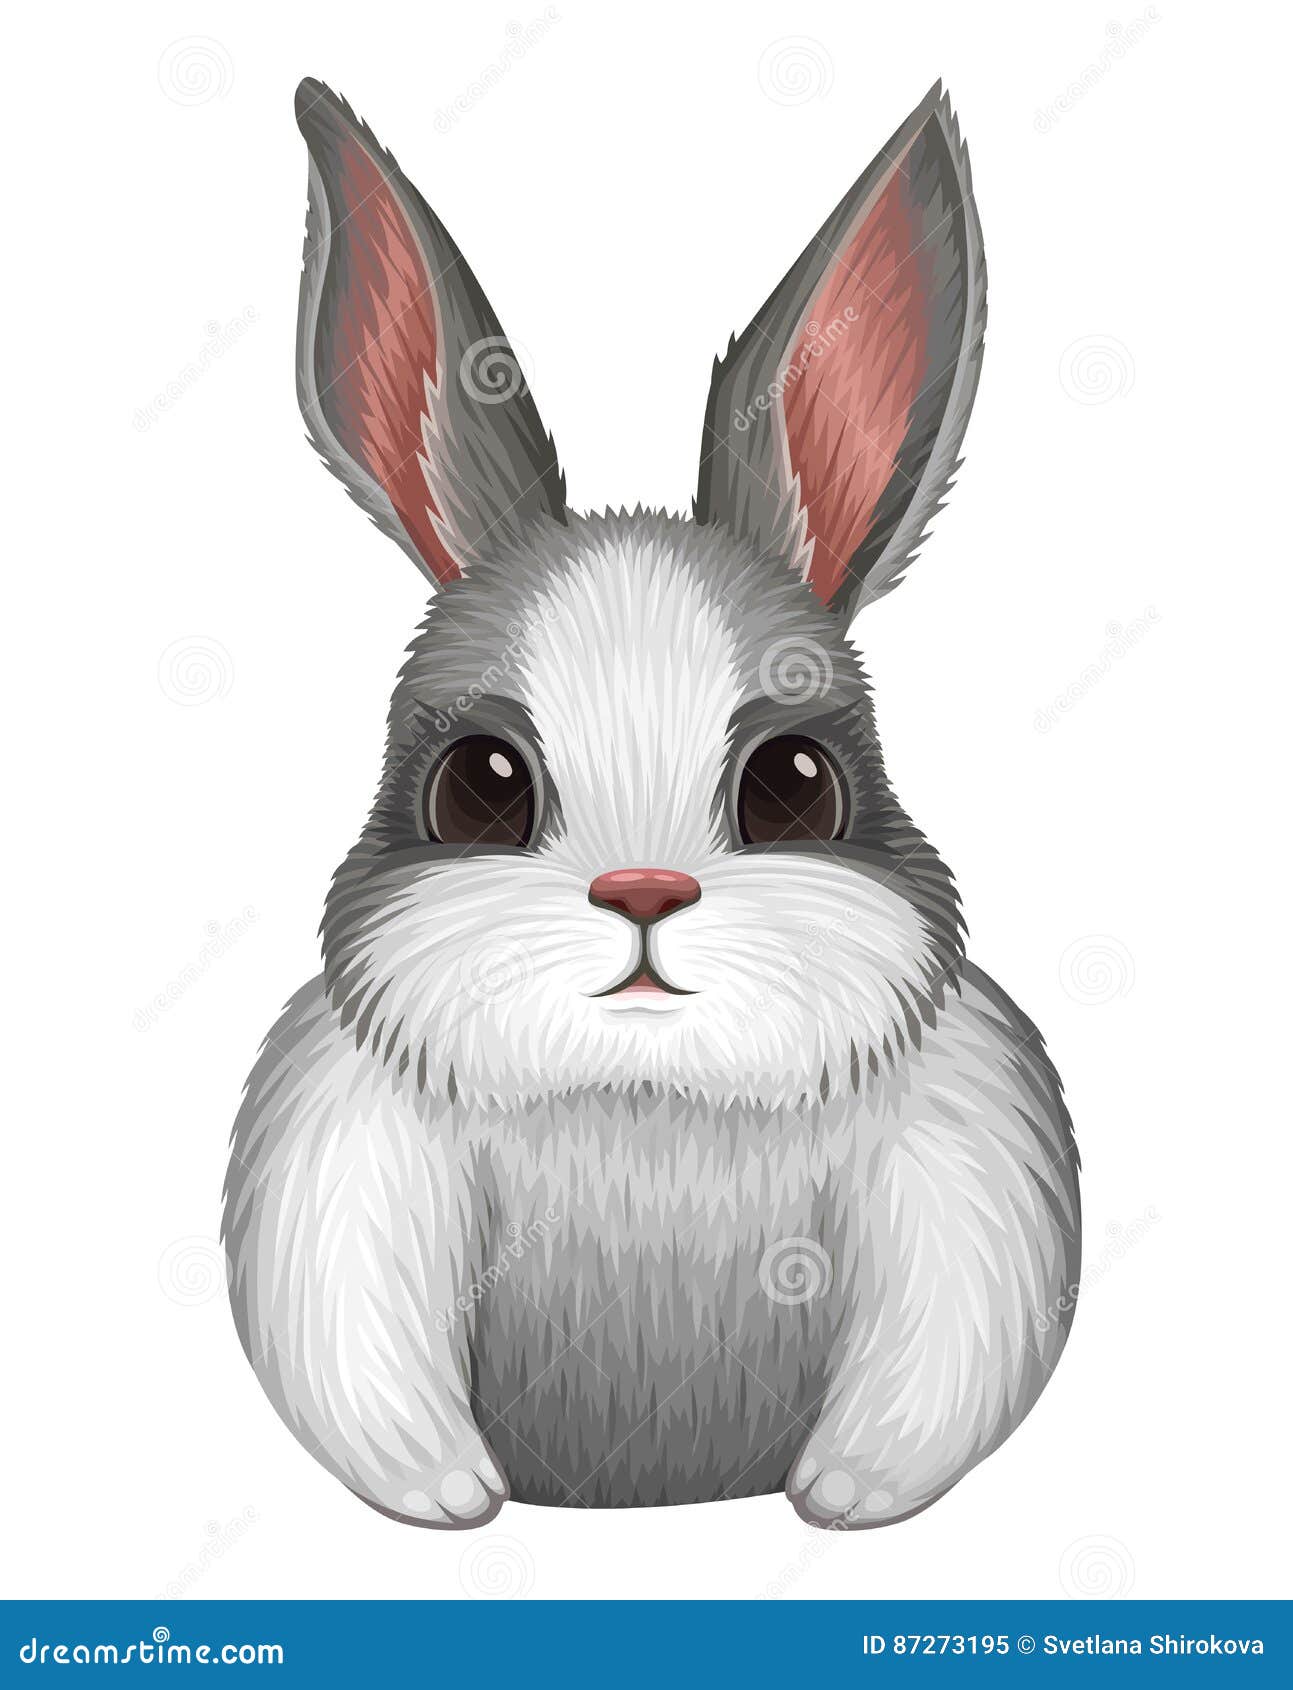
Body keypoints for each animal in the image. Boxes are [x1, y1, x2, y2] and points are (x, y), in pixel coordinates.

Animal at [222, 76, 1080, 1532]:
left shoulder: (968, 1157)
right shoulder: (339, 1164)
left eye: (795, 783)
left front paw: (842, 1494)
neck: (646, 1095)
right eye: (479, 784)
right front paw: (452, 1494)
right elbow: (358, 1348)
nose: (641, 893)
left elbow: (938, 1354)